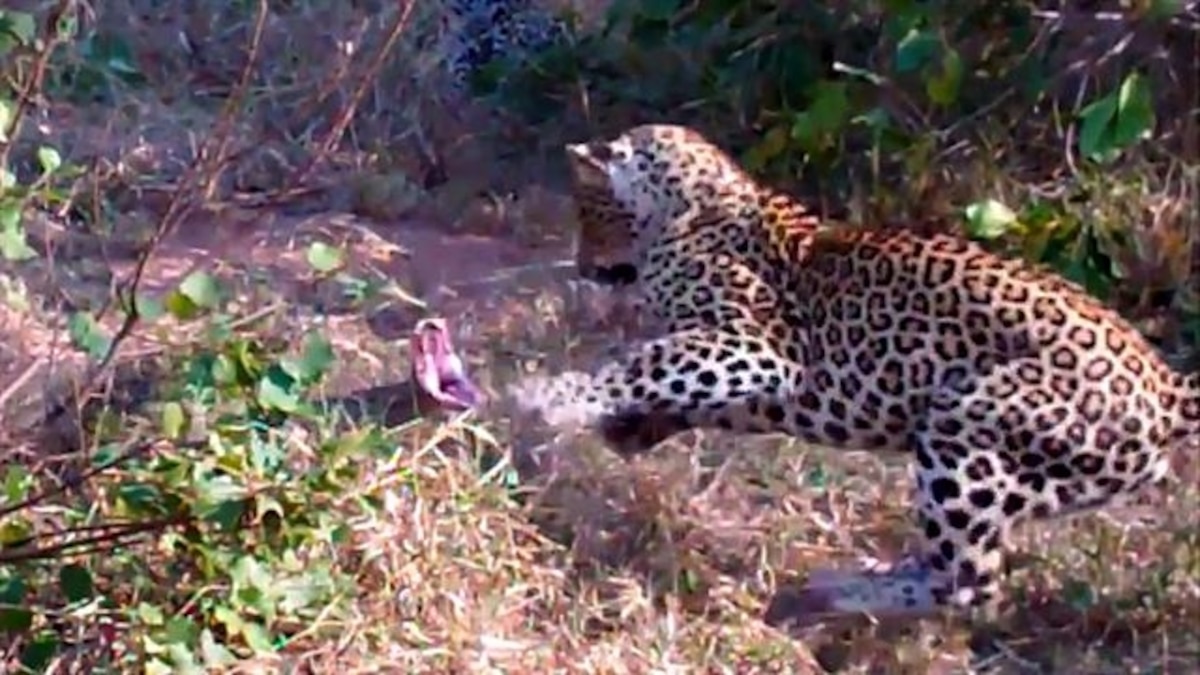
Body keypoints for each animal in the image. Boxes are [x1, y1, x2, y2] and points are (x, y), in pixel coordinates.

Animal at [509, 122, 1200, 617]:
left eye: (590, 209)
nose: (583, 266)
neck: (693, 207)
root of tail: (1169, 386)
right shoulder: (743, 369)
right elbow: (674, 378)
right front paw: (627, 429)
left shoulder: (757, 348)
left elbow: (647, 360)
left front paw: (553, 395)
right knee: (956, 568)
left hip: (965, 425)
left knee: (968, 586)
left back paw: (839, 591)